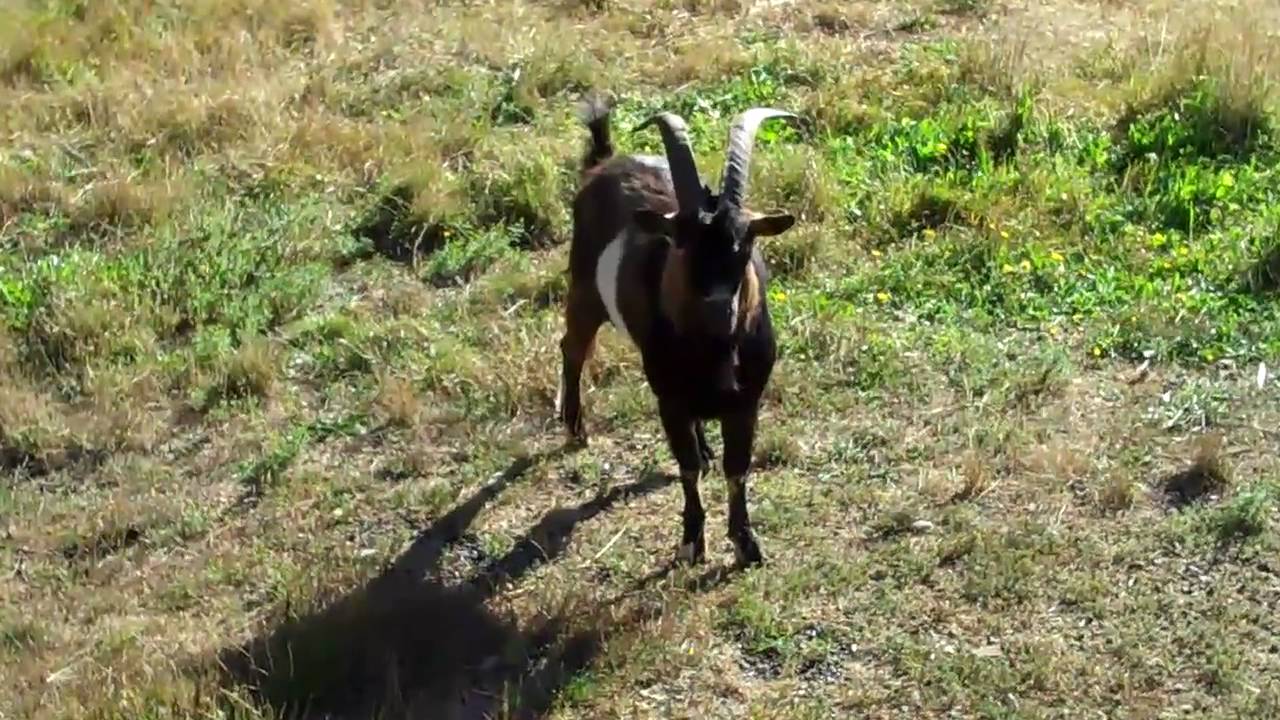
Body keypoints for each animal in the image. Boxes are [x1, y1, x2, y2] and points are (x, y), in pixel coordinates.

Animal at [555, 95, 801, 566]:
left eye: (745, 241)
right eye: (681, 241)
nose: (719, 309)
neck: (715, 352)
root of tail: (606, 160)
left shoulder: (747, 402)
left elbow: (737, 469)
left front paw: (746, 544)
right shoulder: (668, 398)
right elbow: (686, 469)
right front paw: (691, 541)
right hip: (583, 288)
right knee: (572, 347)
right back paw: (575, 427)